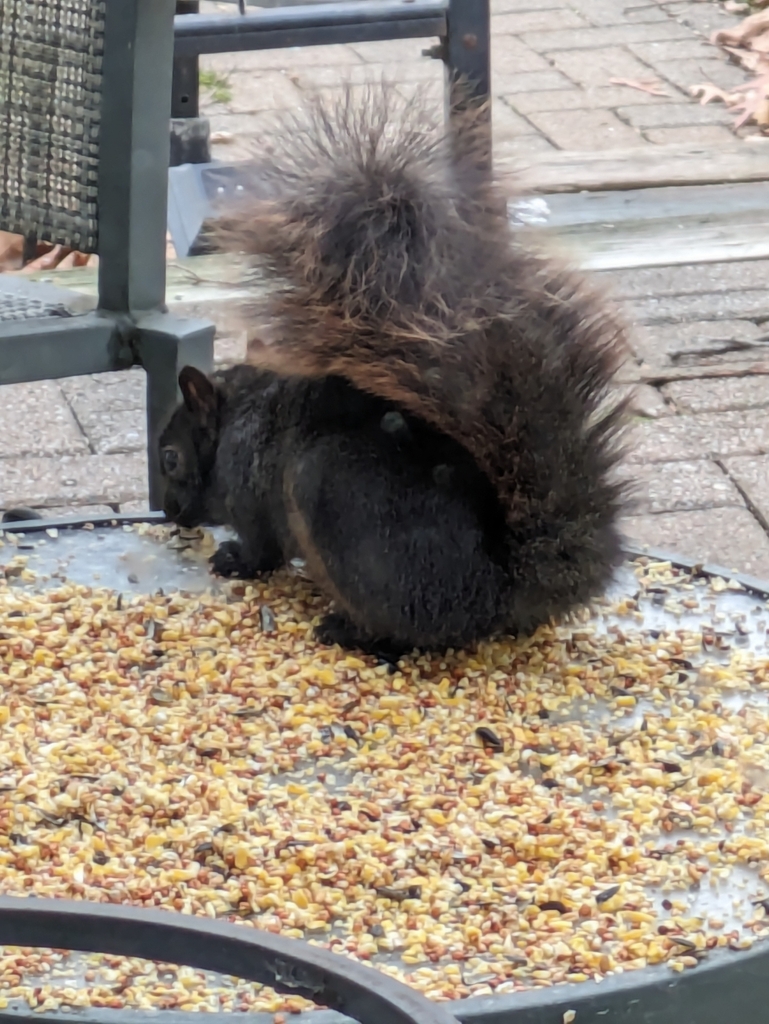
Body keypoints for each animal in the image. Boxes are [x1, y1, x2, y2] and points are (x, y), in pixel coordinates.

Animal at [159, 86, 629, 658]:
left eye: (171, 458)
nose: (169, 511)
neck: (234, 417)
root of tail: (498, 592)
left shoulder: (250, 497)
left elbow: (261, 549)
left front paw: (232, 560)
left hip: (328, 494)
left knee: (404, 633)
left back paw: (347, 630)